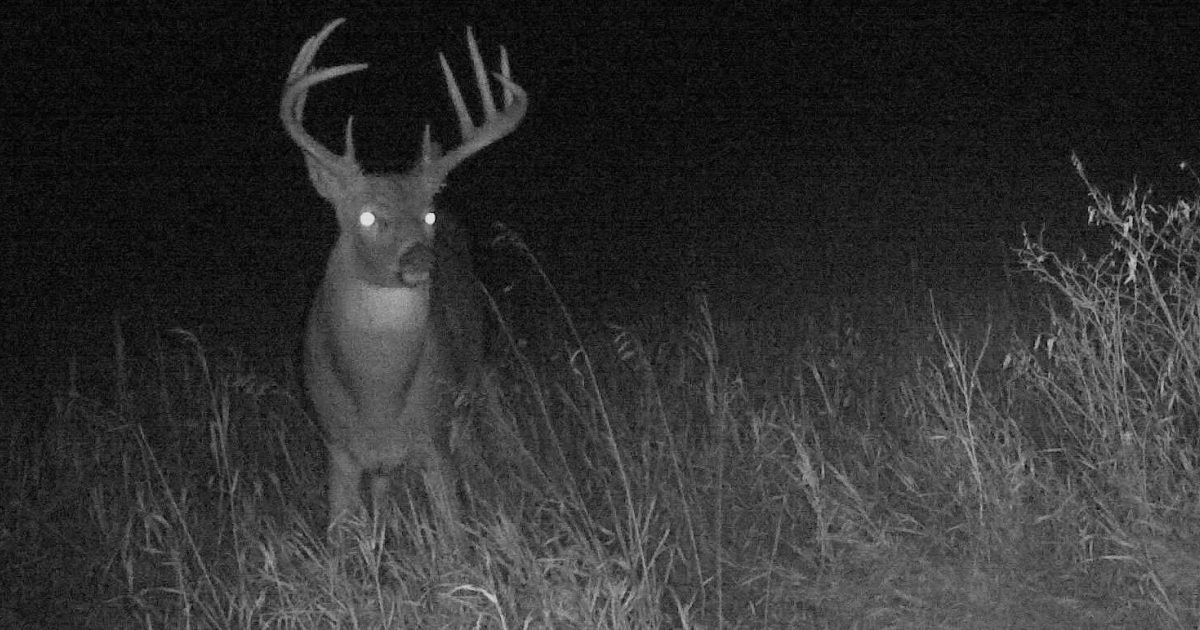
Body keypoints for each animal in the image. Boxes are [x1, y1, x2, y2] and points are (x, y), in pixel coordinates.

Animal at [280, 18, 527, 534]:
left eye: (427, 214)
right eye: (369, 216)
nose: (419, 259)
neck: (378, 397)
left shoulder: (435, 438)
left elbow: (455, 535)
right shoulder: (337, 449)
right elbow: (339, 540)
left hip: (475, 377)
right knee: (383, 491)